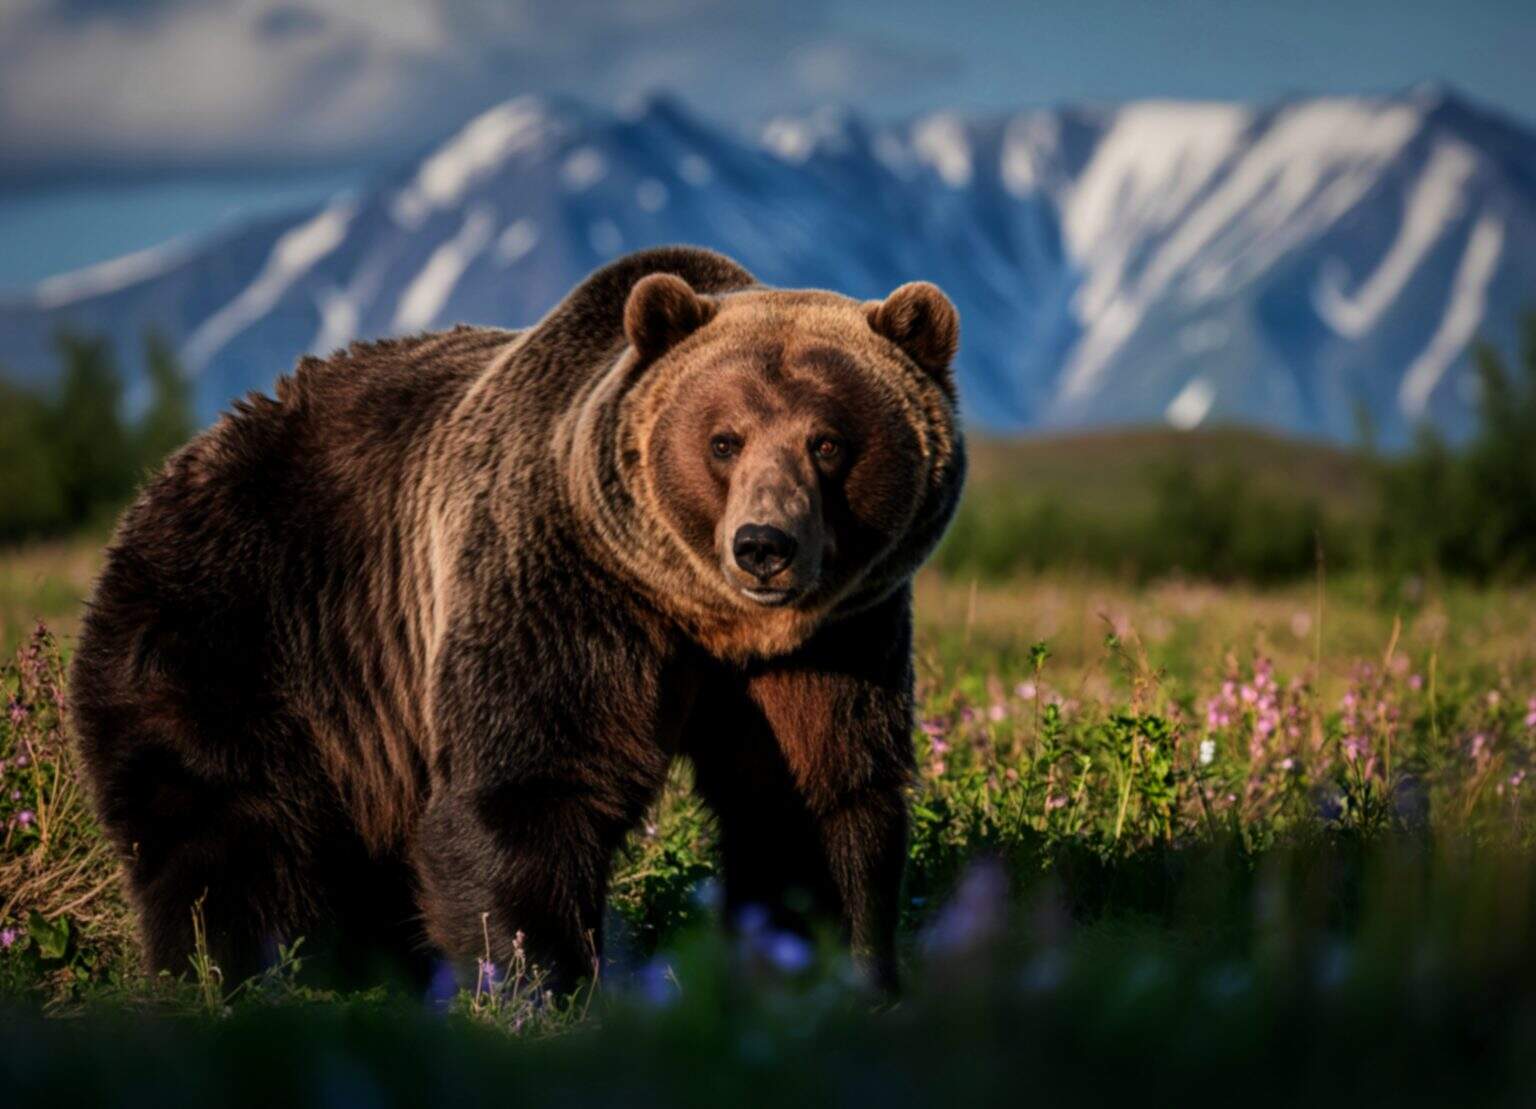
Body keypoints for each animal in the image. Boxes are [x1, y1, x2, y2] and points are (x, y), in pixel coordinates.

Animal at [69, 245, 966, 994]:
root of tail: (172, 470)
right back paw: (227, 974)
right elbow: (525, 791)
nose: (764, 545)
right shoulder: (559, 580)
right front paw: (545, 984)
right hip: (237, 632)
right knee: (226, 829)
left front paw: (839, 968)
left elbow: (819, 798)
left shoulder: (838, 635)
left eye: (827, 442)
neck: (702, 616)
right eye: (723, 439)